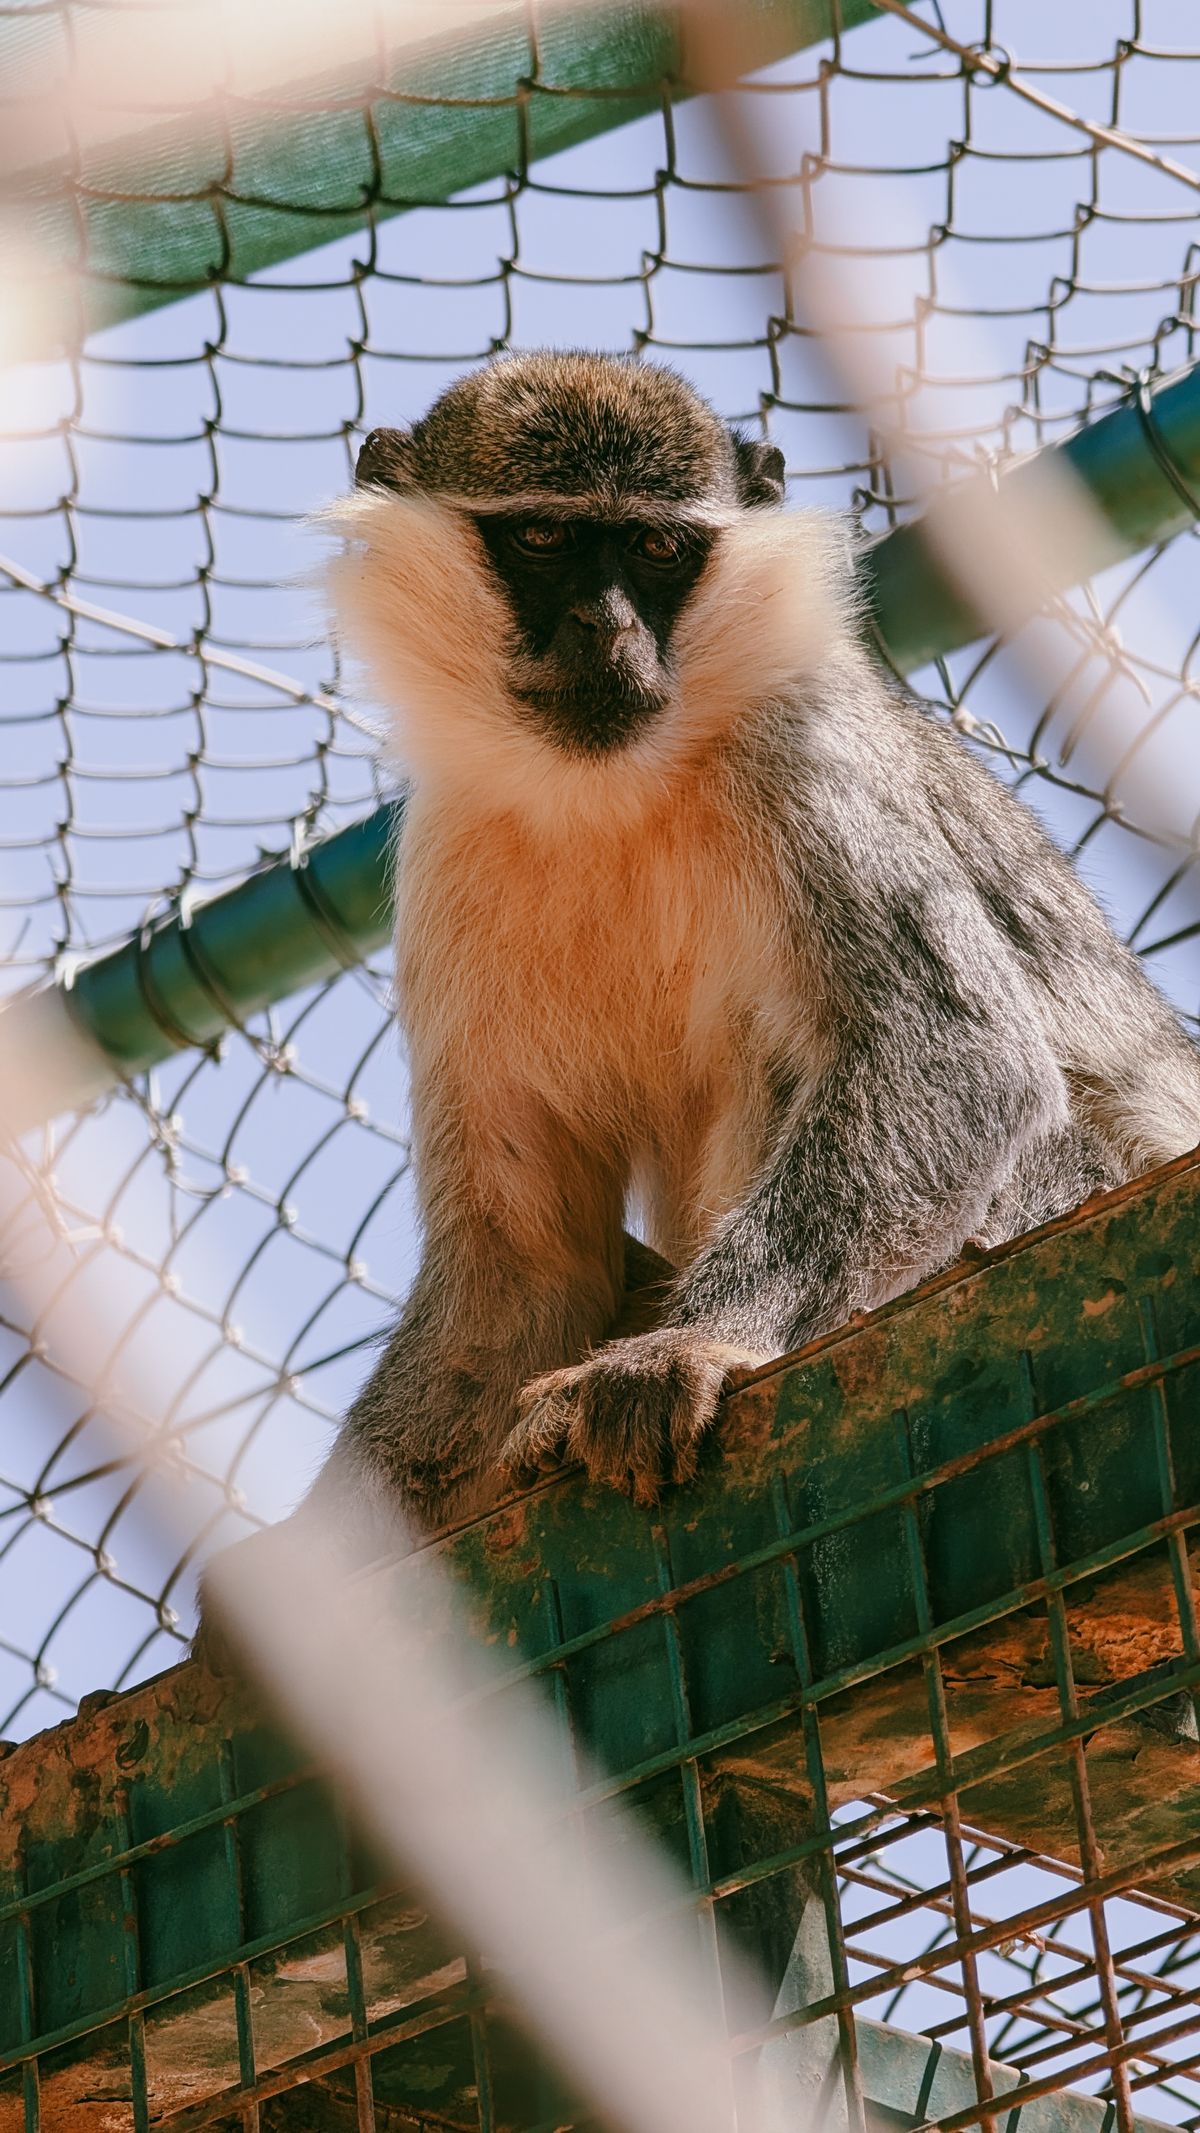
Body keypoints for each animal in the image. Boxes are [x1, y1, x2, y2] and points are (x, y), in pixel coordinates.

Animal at [296, 347, 1200, 1545]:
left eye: (656, 550)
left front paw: (683, 1345)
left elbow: (959, 1060)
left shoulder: (803, 744)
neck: (610, 793)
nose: (608, 630)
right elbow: (520, 1267)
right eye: (543, 538)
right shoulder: (448, 845)